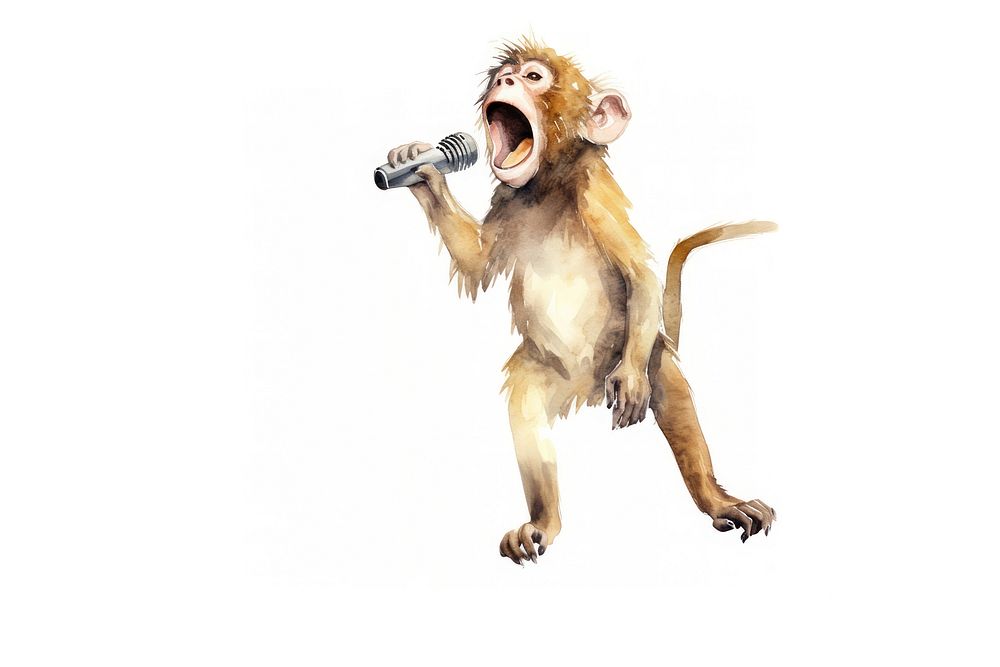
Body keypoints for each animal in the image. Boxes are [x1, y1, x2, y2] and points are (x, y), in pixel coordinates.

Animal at [383, 37, 776, 565]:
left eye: (533, 77)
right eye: (503, 77)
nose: (506, 80)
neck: (544, 187)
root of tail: (585, 390)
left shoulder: (596, 196)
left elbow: (639, 275)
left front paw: (630, 383)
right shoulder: (506, 205)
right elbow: (478, 263)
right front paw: (420, 168)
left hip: (640, 346)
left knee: (669, 390)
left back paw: (717, 499)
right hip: (545, 371)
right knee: (527, 412)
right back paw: (541, 523)